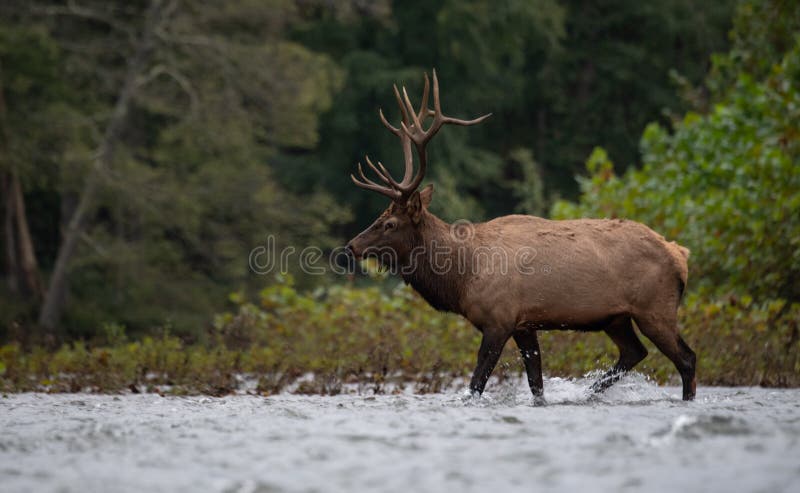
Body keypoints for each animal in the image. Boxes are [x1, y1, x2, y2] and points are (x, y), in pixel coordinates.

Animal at [345, 70, 696, 403]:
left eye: (390, 223)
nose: (351, 246)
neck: (462, 276)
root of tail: (680, 254)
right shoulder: (524, 324)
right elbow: (535, 384)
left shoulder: (498, 319)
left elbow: (476, 384)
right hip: (616, 318)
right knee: (635, 352)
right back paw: (589, 393)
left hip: (655, 309)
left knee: (686, 358)